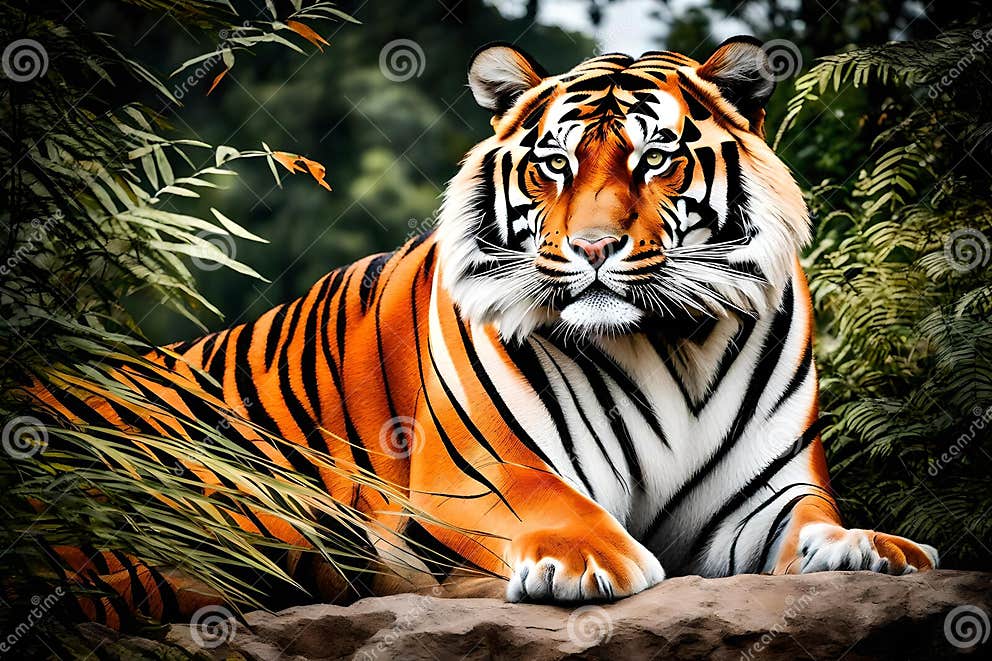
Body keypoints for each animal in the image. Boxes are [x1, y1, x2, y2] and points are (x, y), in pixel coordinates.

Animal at [30, 36, 938, 626]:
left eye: (653, 159)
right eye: (554, 164)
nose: (594, 248)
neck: (663, 343)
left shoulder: (765, 492)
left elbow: (814, 522)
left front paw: (872, 546)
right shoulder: (478, 472)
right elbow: (555, 501)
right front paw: (587, 559)